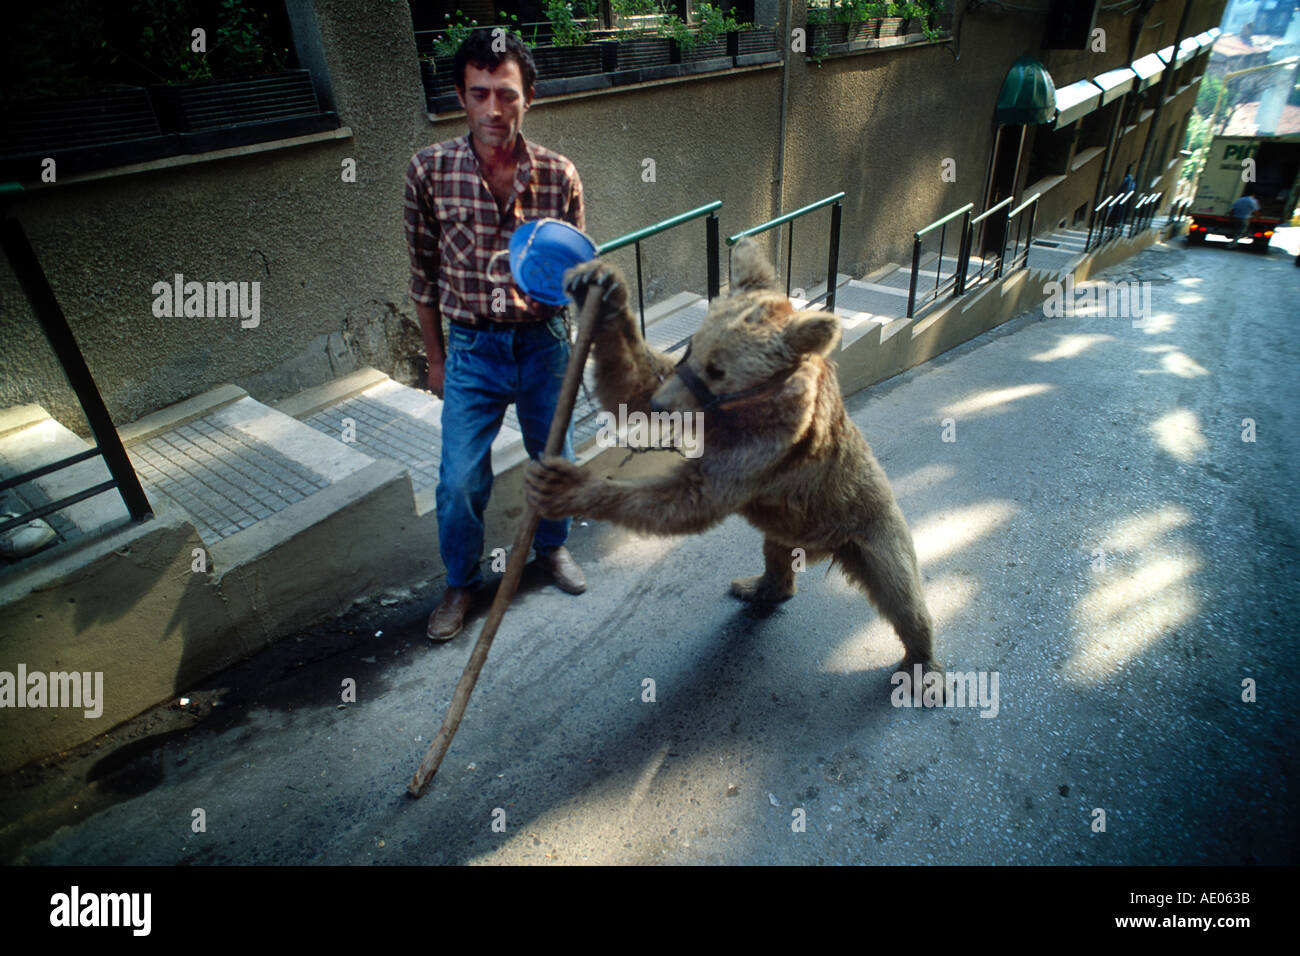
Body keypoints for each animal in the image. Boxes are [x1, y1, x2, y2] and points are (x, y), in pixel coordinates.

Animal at [525, 238, 941, 686]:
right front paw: (604, 285)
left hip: (872, 527)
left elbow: (690, 499)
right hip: (786, 528)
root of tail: (822, 549)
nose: (662, 405)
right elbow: (635, 381)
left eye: (718, 369)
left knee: (902, 593)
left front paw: (565, 485)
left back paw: (922, 666)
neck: (749, 408)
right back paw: (756, 585)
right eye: (693, 345)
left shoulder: (762, 452)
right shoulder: (704, 410)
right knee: (775, 556)